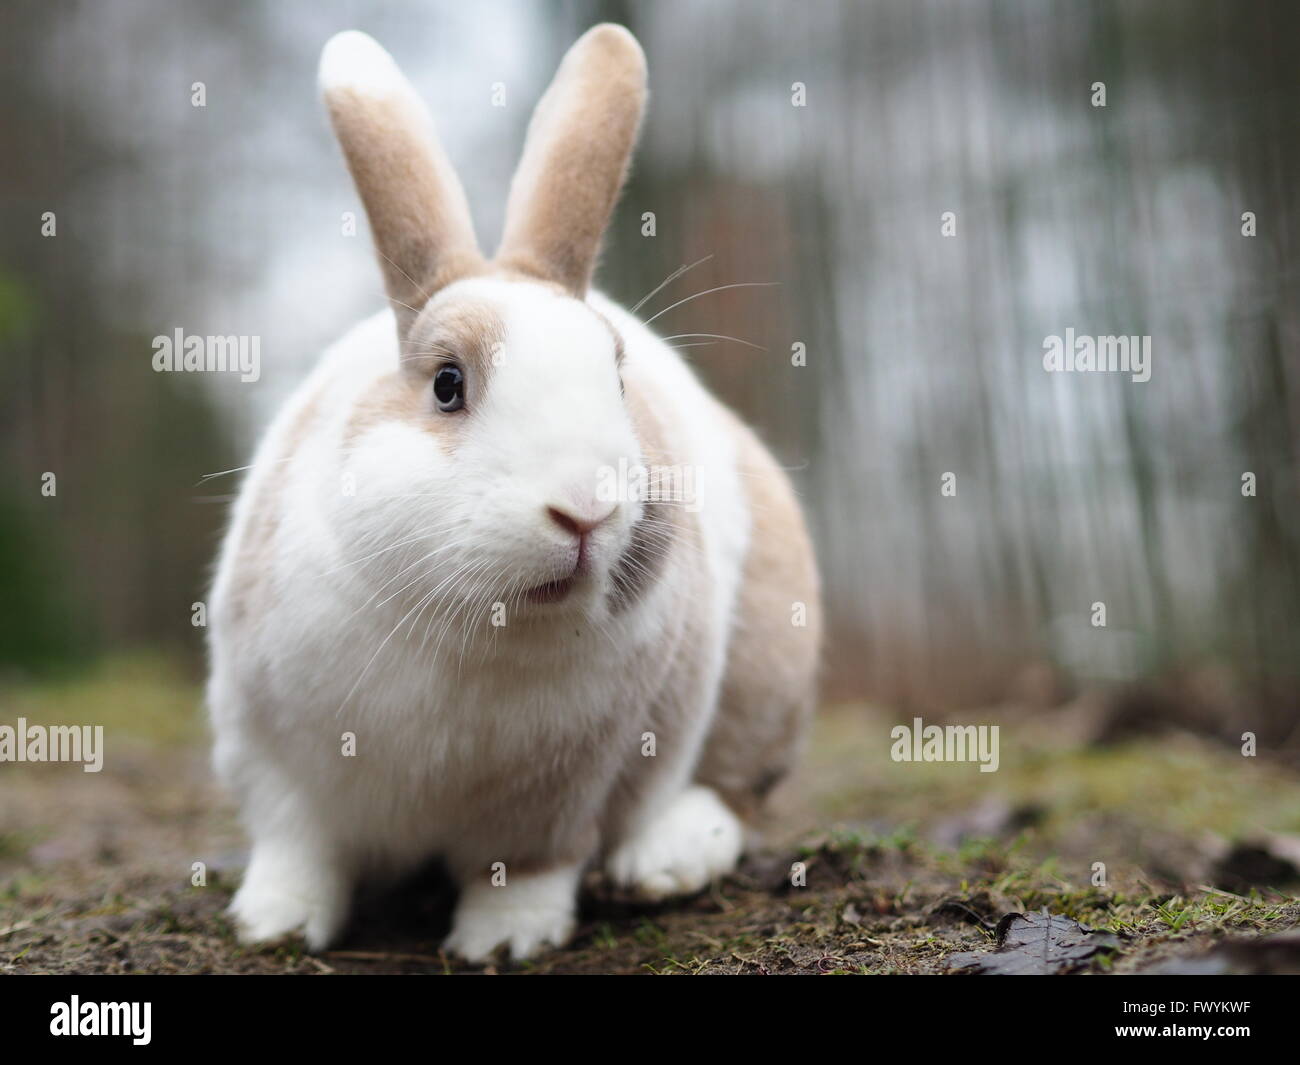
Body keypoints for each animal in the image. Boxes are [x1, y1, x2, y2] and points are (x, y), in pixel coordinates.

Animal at [206, 23, 821, 962]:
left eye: (616, 375)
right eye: (447, 384)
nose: (585, 510)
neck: (475, 624)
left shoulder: (565, 792)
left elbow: (527, 868)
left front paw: (502, 943)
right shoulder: (276, 762)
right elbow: (298, 850)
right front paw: (272, 923)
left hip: (769, 665)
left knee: (737, 789)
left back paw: (663, 860)